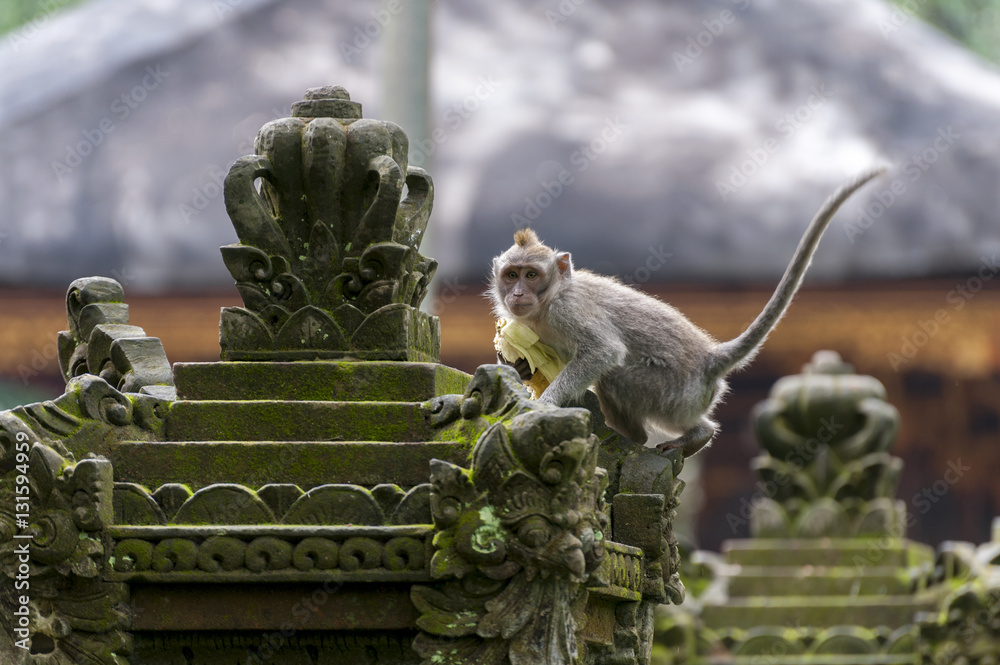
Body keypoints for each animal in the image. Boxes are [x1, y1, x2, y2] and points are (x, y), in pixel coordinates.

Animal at [490, 167, 884, 457]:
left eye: (531, 275)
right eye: (511, 275)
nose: (518, 292)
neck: (547, 303)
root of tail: (709, 360)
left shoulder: (567, 311)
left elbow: (604, 352)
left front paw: (547, 403)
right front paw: (519, 366)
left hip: (673, 392)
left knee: (616, 377)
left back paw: (687, 435)